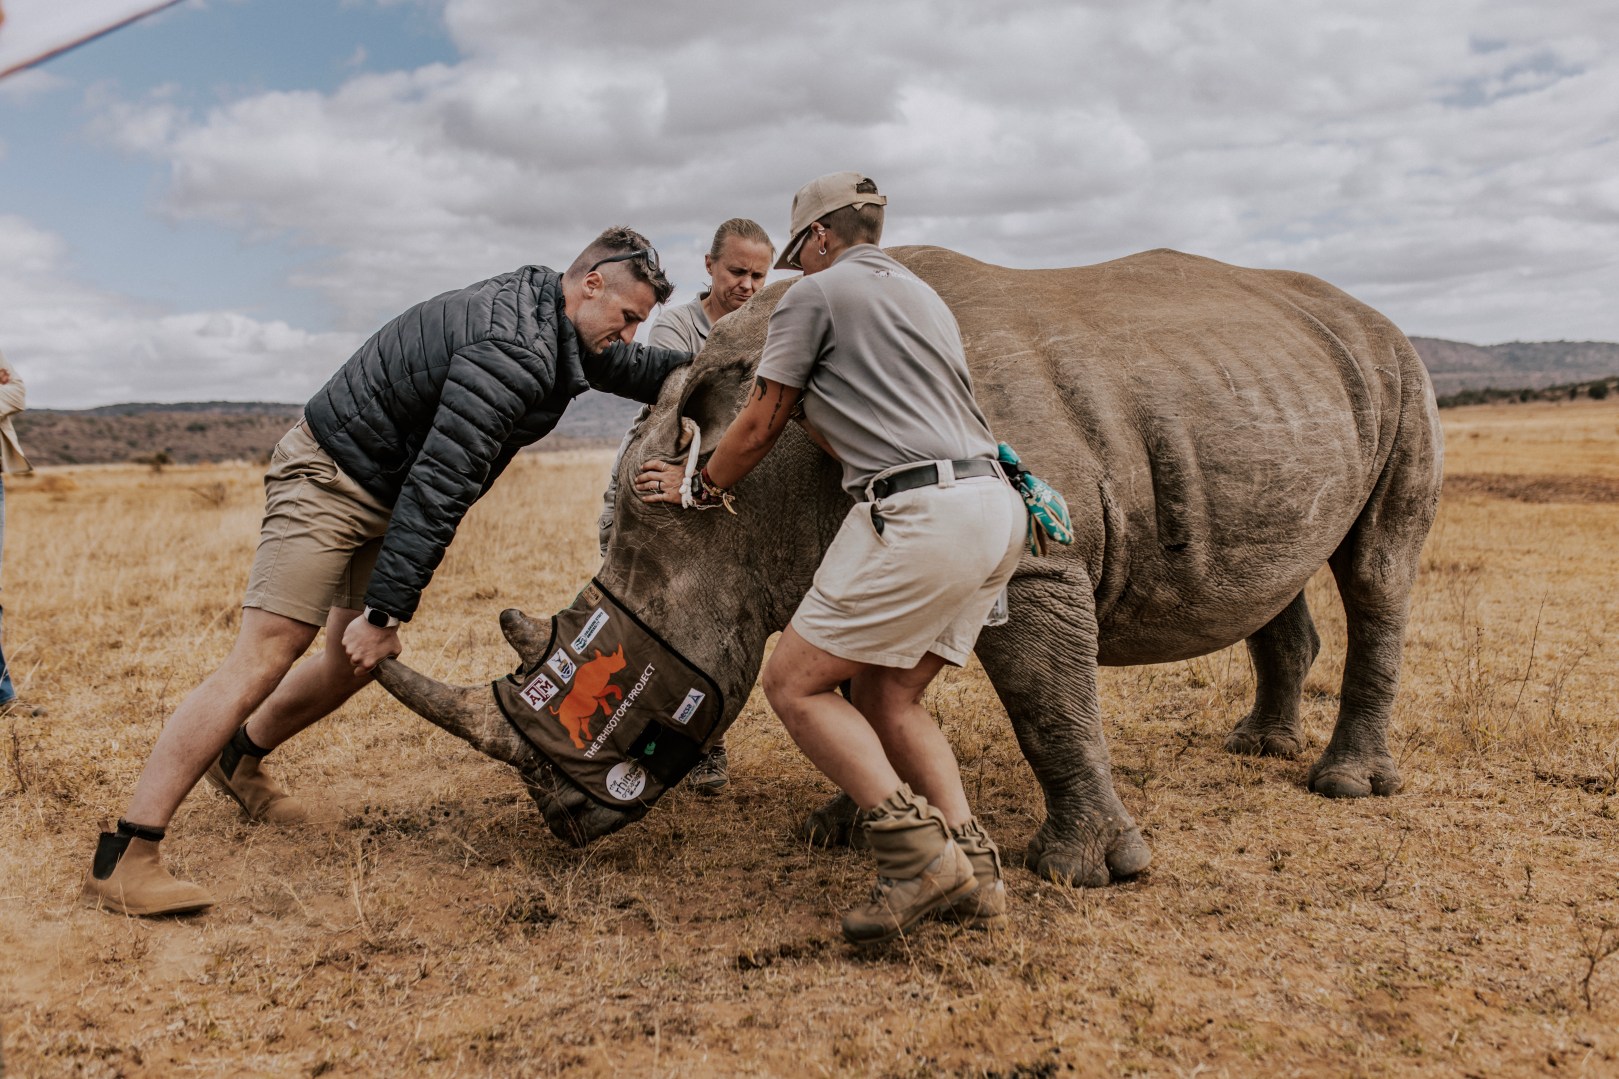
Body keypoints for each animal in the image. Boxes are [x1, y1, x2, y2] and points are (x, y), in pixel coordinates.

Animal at [375, 246, 1443, 887]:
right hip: (1282, 385)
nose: (561, 820)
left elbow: (1048, 705)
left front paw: (1082, 874)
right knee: (1278, 563)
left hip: (1398, 368)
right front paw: (848, 827)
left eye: (610, 683)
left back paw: (1342, 786)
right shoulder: (829, 558)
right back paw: (1255, 747)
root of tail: (1375, 316)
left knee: (1376, 568)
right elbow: (855, 689)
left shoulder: (1034, 562)